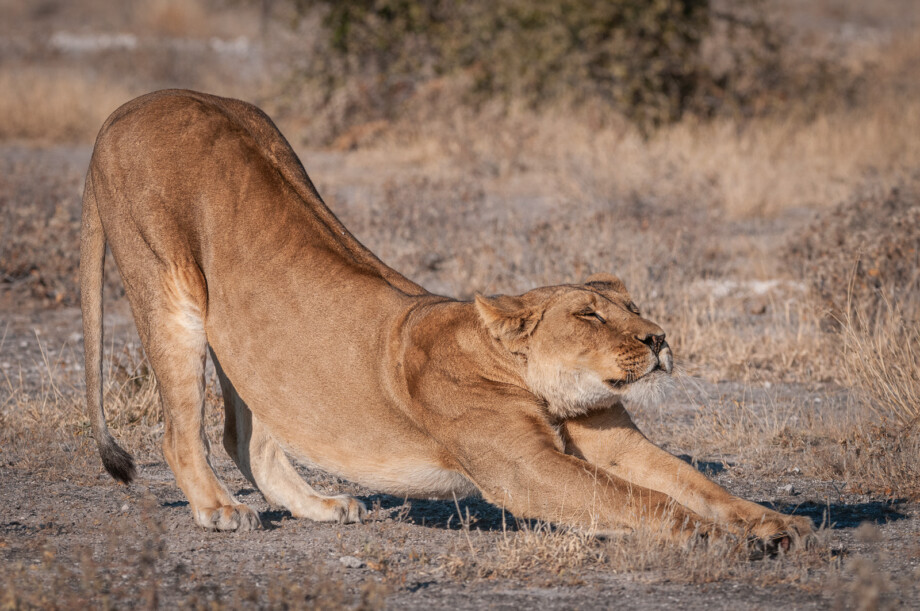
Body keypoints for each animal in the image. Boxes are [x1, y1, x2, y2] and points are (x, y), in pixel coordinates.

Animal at [81, 89, 813, 550]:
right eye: (589, 313)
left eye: (633, 309)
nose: (659, 339)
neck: (532, 381)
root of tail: (123, 109)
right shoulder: (524, 468)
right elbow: (646, 501)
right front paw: (715, 537)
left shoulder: (614, 443)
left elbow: (694, 482)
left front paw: (776, 523)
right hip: (170, 294)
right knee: (180, 430)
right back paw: (220, 511)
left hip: (244, 334)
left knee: (249, 434)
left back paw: (322, 505)